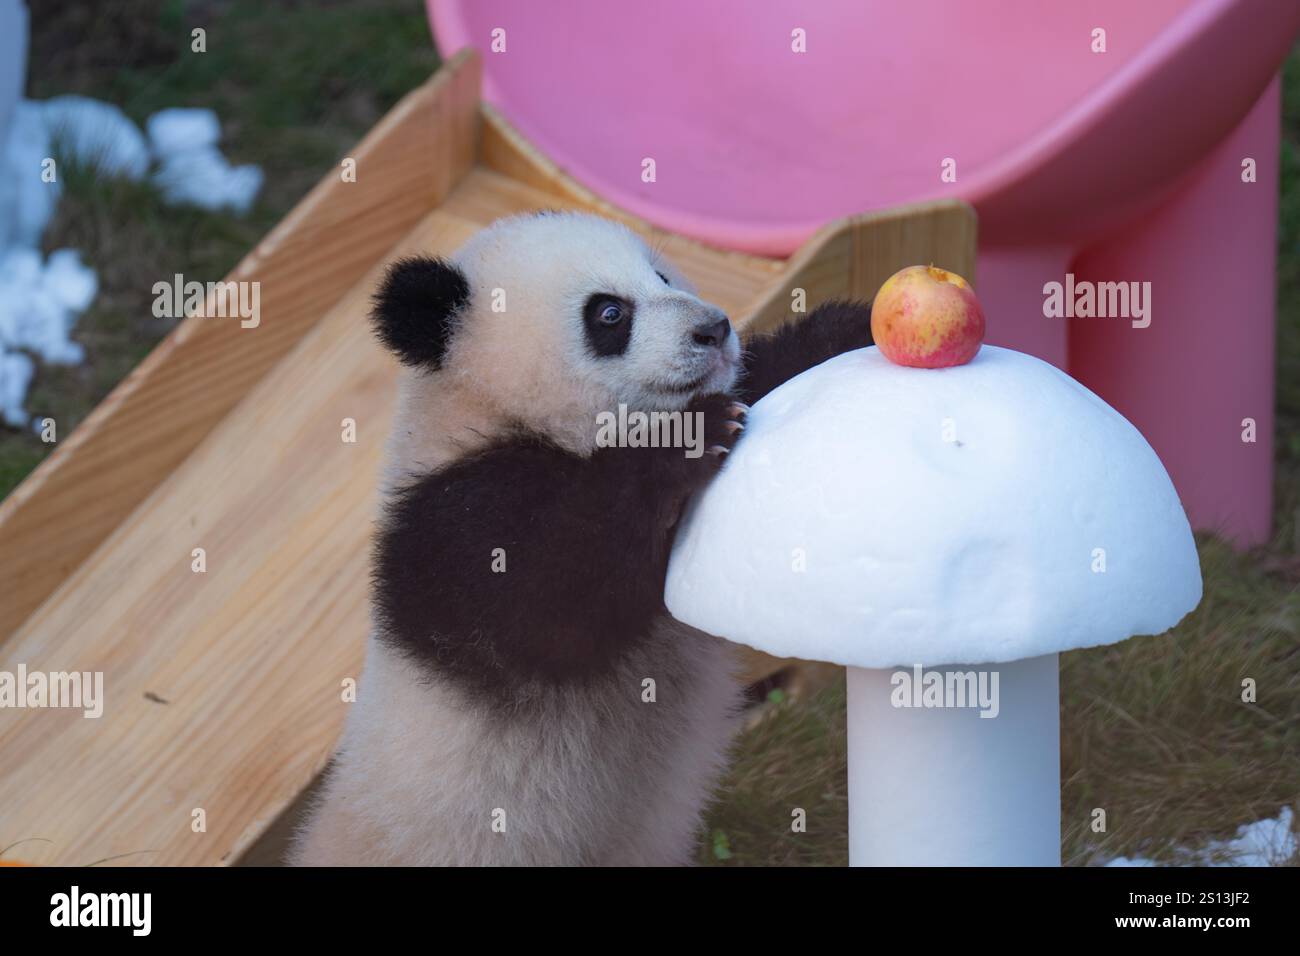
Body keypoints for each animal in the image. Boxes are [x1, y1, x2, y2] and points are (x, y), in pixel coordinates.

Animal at [290, 211, 872, 866]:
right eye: (609, 313)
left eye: (661, 275)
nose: (714, 329)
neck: (492, 411)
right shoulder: (449, 526)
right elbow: (551, 604)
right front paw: (686, 438)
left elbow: (763, 382)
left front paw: (844, 327)